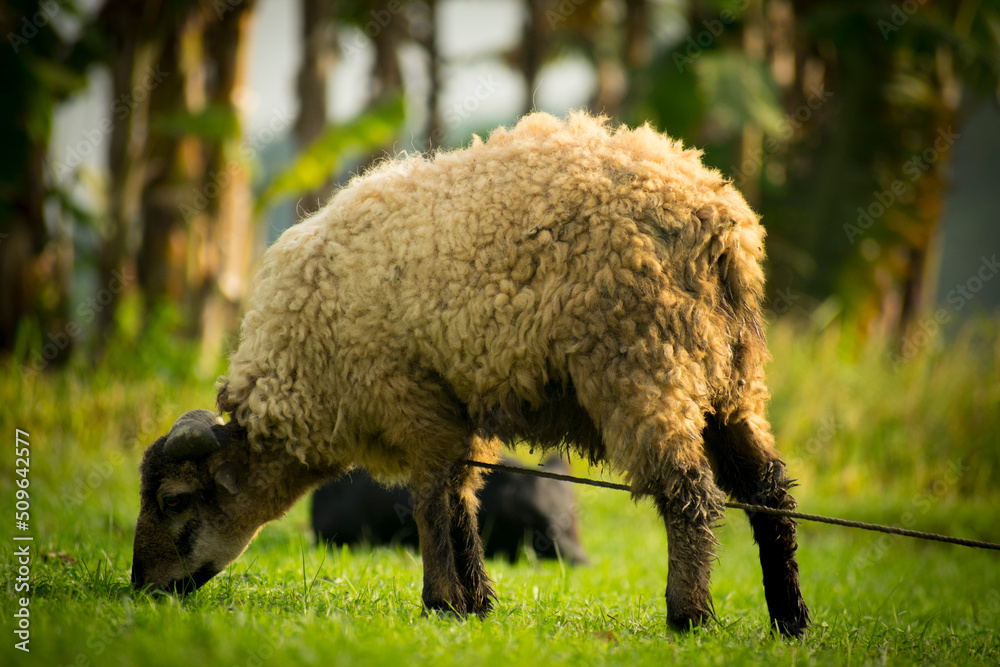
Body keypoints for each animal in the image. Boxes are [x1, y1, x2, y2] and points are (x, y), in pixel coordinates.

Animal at [131, 111, 809, 636]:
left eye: (175, 499)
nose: (142, 590)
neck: (308, 377)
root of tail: (717, 219)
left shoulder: (411, 396)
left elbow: (430, 500)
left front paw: (439, 602)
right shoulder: (451, 402)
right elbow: (459, 497)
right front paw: (475, 603)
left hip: (643, 363)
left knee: (689, 492)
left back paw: (689, 615)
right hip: (730, 377)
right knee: (767, 488)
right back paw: (789, 619)